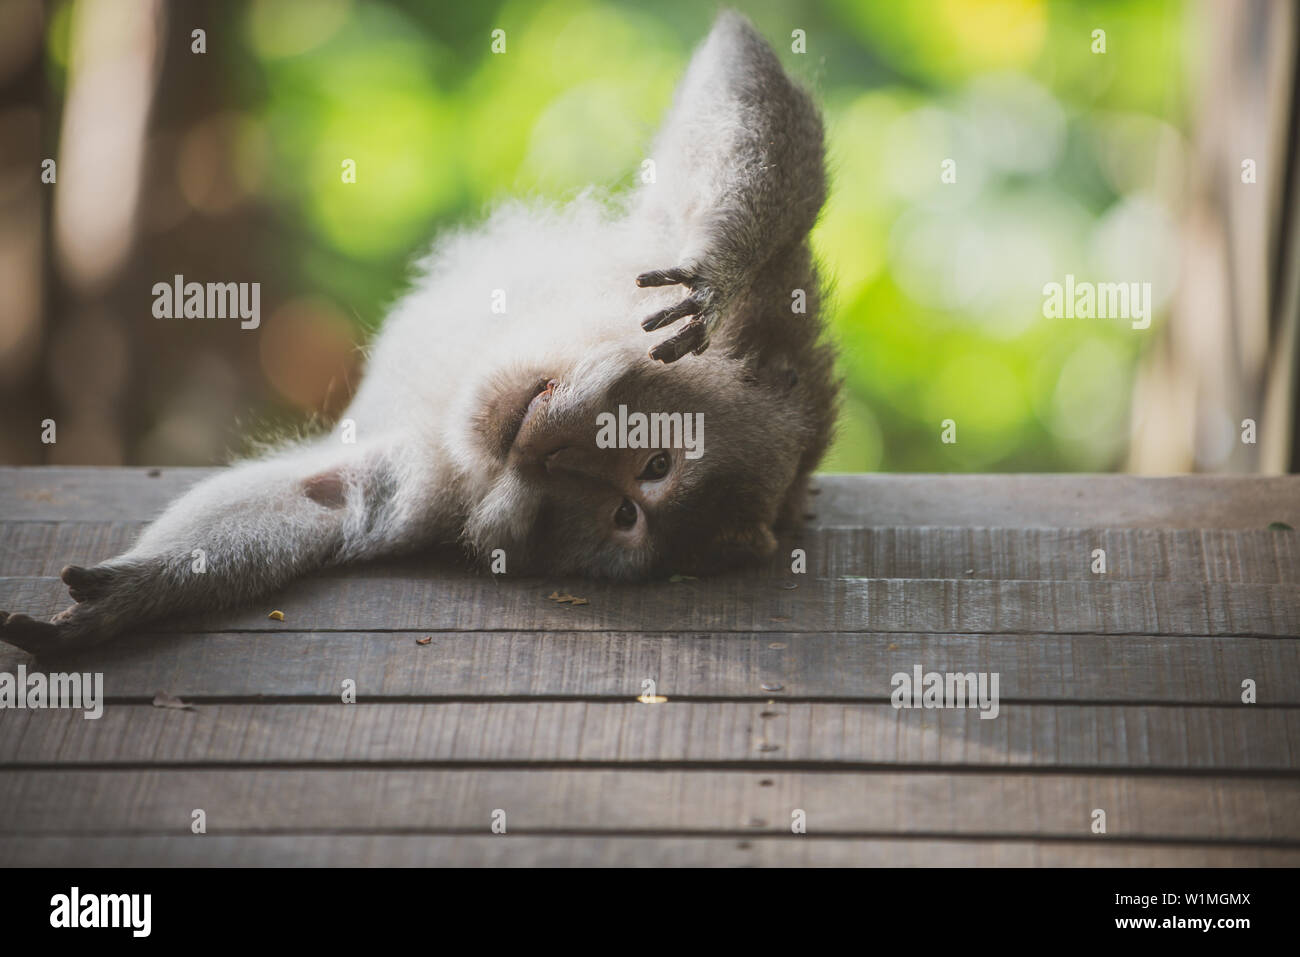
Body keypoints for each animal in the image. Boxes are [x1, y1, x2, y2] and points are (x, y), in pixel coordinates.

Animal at [0, 12, 839, 657]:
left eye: (627, 512)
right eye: (657, 464)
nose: (555, 452)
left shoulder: (451, 500)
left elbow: (331, 497)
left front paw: (139, 594)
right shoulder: (761, 313)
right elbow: (745, 78)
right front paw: (713, 271)